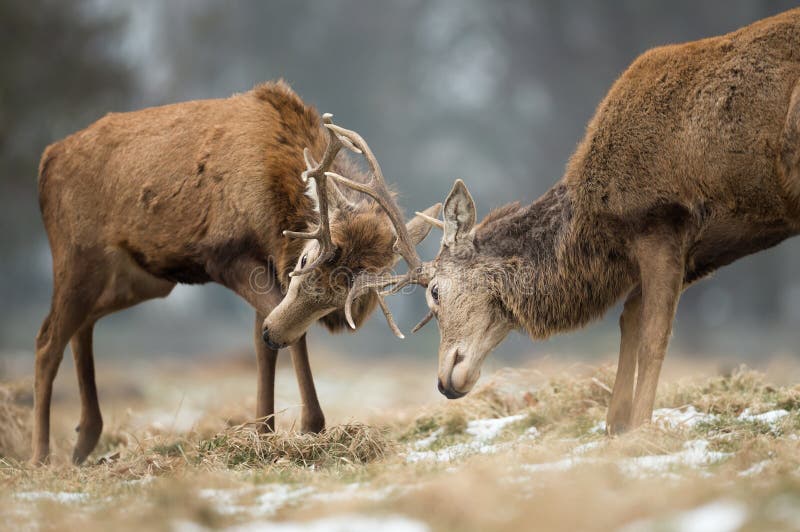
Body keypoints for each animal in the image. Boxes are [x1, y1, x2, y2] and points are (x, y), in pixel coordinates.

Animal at [33, 79, 440, 465]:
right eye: (305, 260)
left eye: (341, 299)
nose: (274, 333)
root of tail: (47, 158)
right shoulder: (224, 254)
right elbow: (278, 324)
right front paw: (306, 425)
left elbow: (263, 342)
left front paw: (265, 430)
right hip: (76, 253)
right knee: (47, 340)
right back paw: (42, 455)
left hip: (139, 278)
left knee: (82, 324)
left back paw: (84, 439)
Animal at [343, 8, 800, 435]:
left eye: (435, 292)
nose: (444, 382)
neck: (593, 234)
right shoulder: (700, 249)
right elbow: (629, 317)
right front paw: (616, 425)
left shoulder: (660, 223)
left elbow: (654, 334)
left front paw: (640, 427)